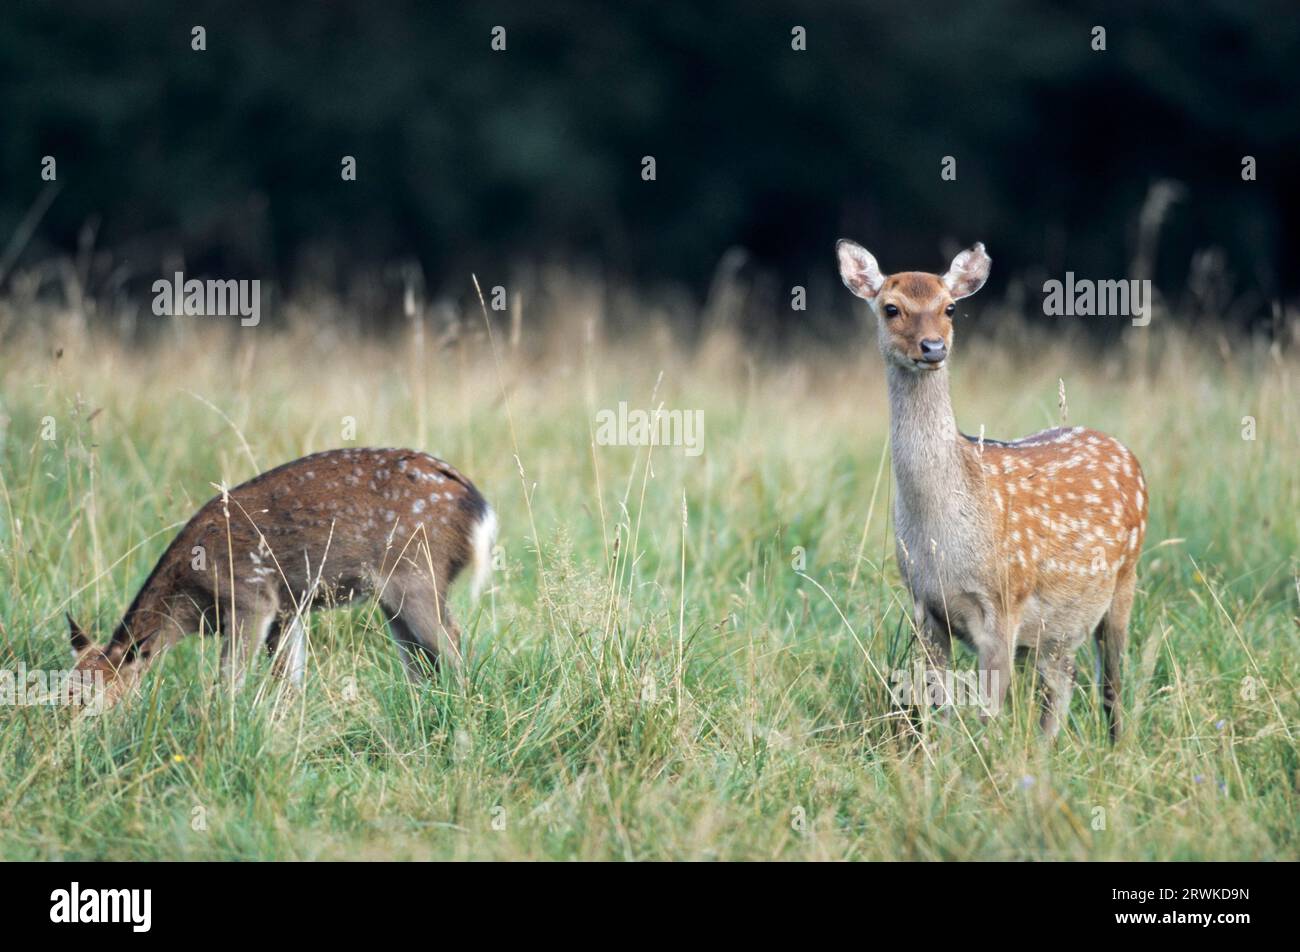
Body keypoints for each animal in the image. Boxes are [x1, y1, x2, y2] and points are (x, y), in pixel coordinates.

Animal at [67, 447, 497, 708]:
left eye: (92, 698)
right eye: (64, 688)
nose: (65, 729)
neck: (193, 600)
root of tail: (477, 504)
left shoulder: (253, 597)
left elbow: (231, 677)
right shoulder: (289, 609)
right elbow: (289, 678)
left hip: (417, 574)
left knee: (454, 645)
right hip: (393, 597)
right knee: (421, 662)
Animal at [836, 240, 1147, 741]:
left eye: (950, 308)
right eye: (891, 308)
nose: (933, 347)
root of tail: (1123, 450)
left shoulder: (1004, 602)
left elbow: (986, 714)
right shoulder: (924, 606)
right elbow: (938, 708)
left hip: (1125, 580)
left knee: (1112, 682)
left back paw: (1119, 749)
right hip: (1058, 629)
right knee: (1062, 683)